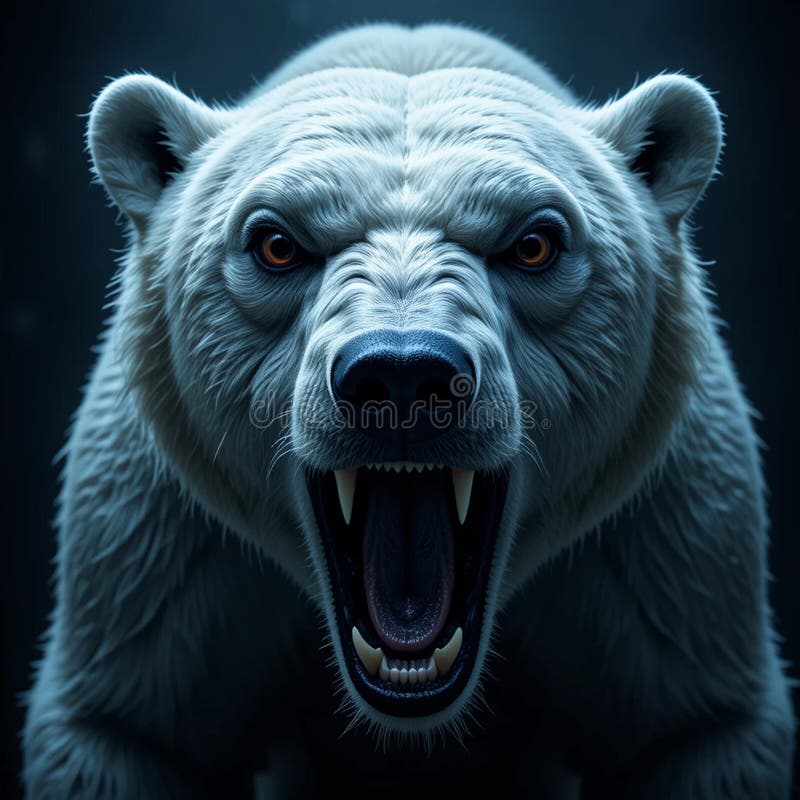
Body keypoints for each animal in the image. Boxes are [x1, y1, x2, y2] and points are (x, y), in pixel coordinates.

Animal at [22, 22, 795, 799]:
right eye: (276, 244)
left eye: (534, 243)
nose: (401, 375)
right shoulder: (163, 551)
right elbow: (125, 730)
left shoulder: (659, 549)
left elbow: (698, 728)